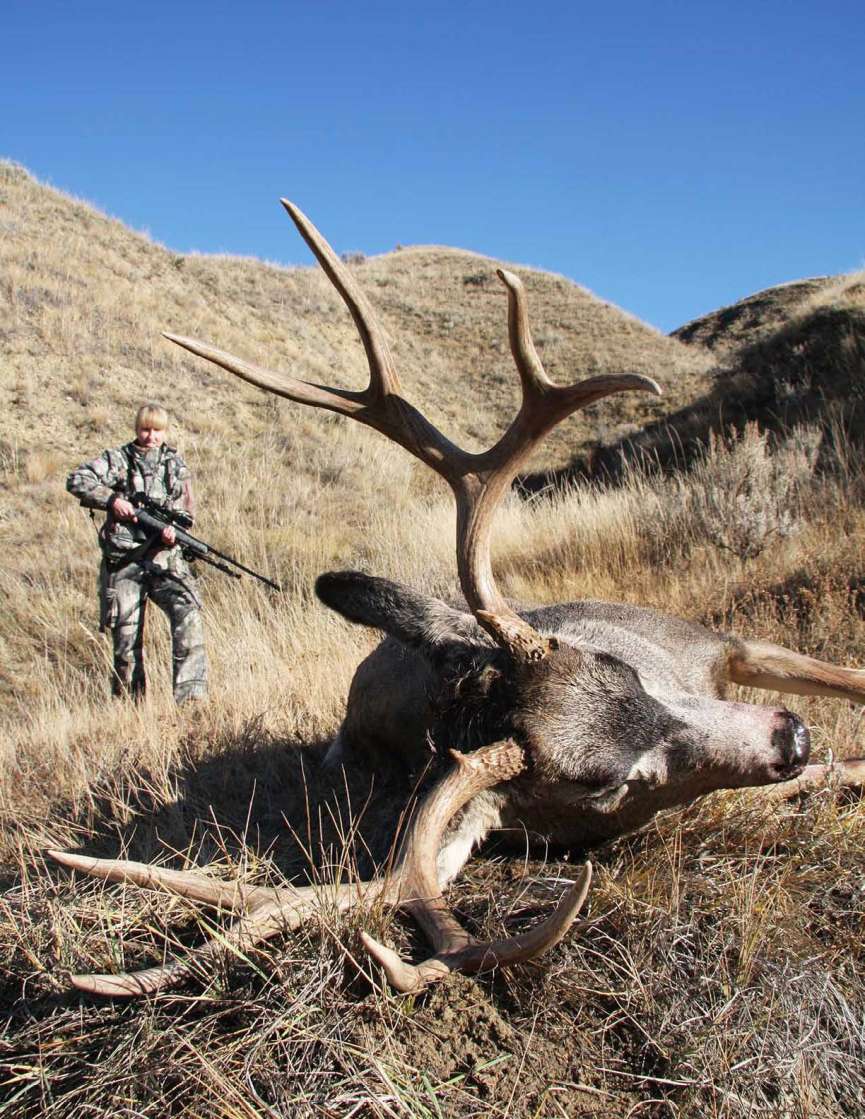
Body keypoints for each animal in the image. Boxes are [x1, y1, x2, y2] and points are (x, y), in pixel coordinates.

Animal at [49, 200, 865, 998]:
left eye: (622, 670)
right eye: (608, 786)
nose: (789, 736)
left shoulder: (715, 640)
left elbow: (844, 681)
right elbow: (826, 769)